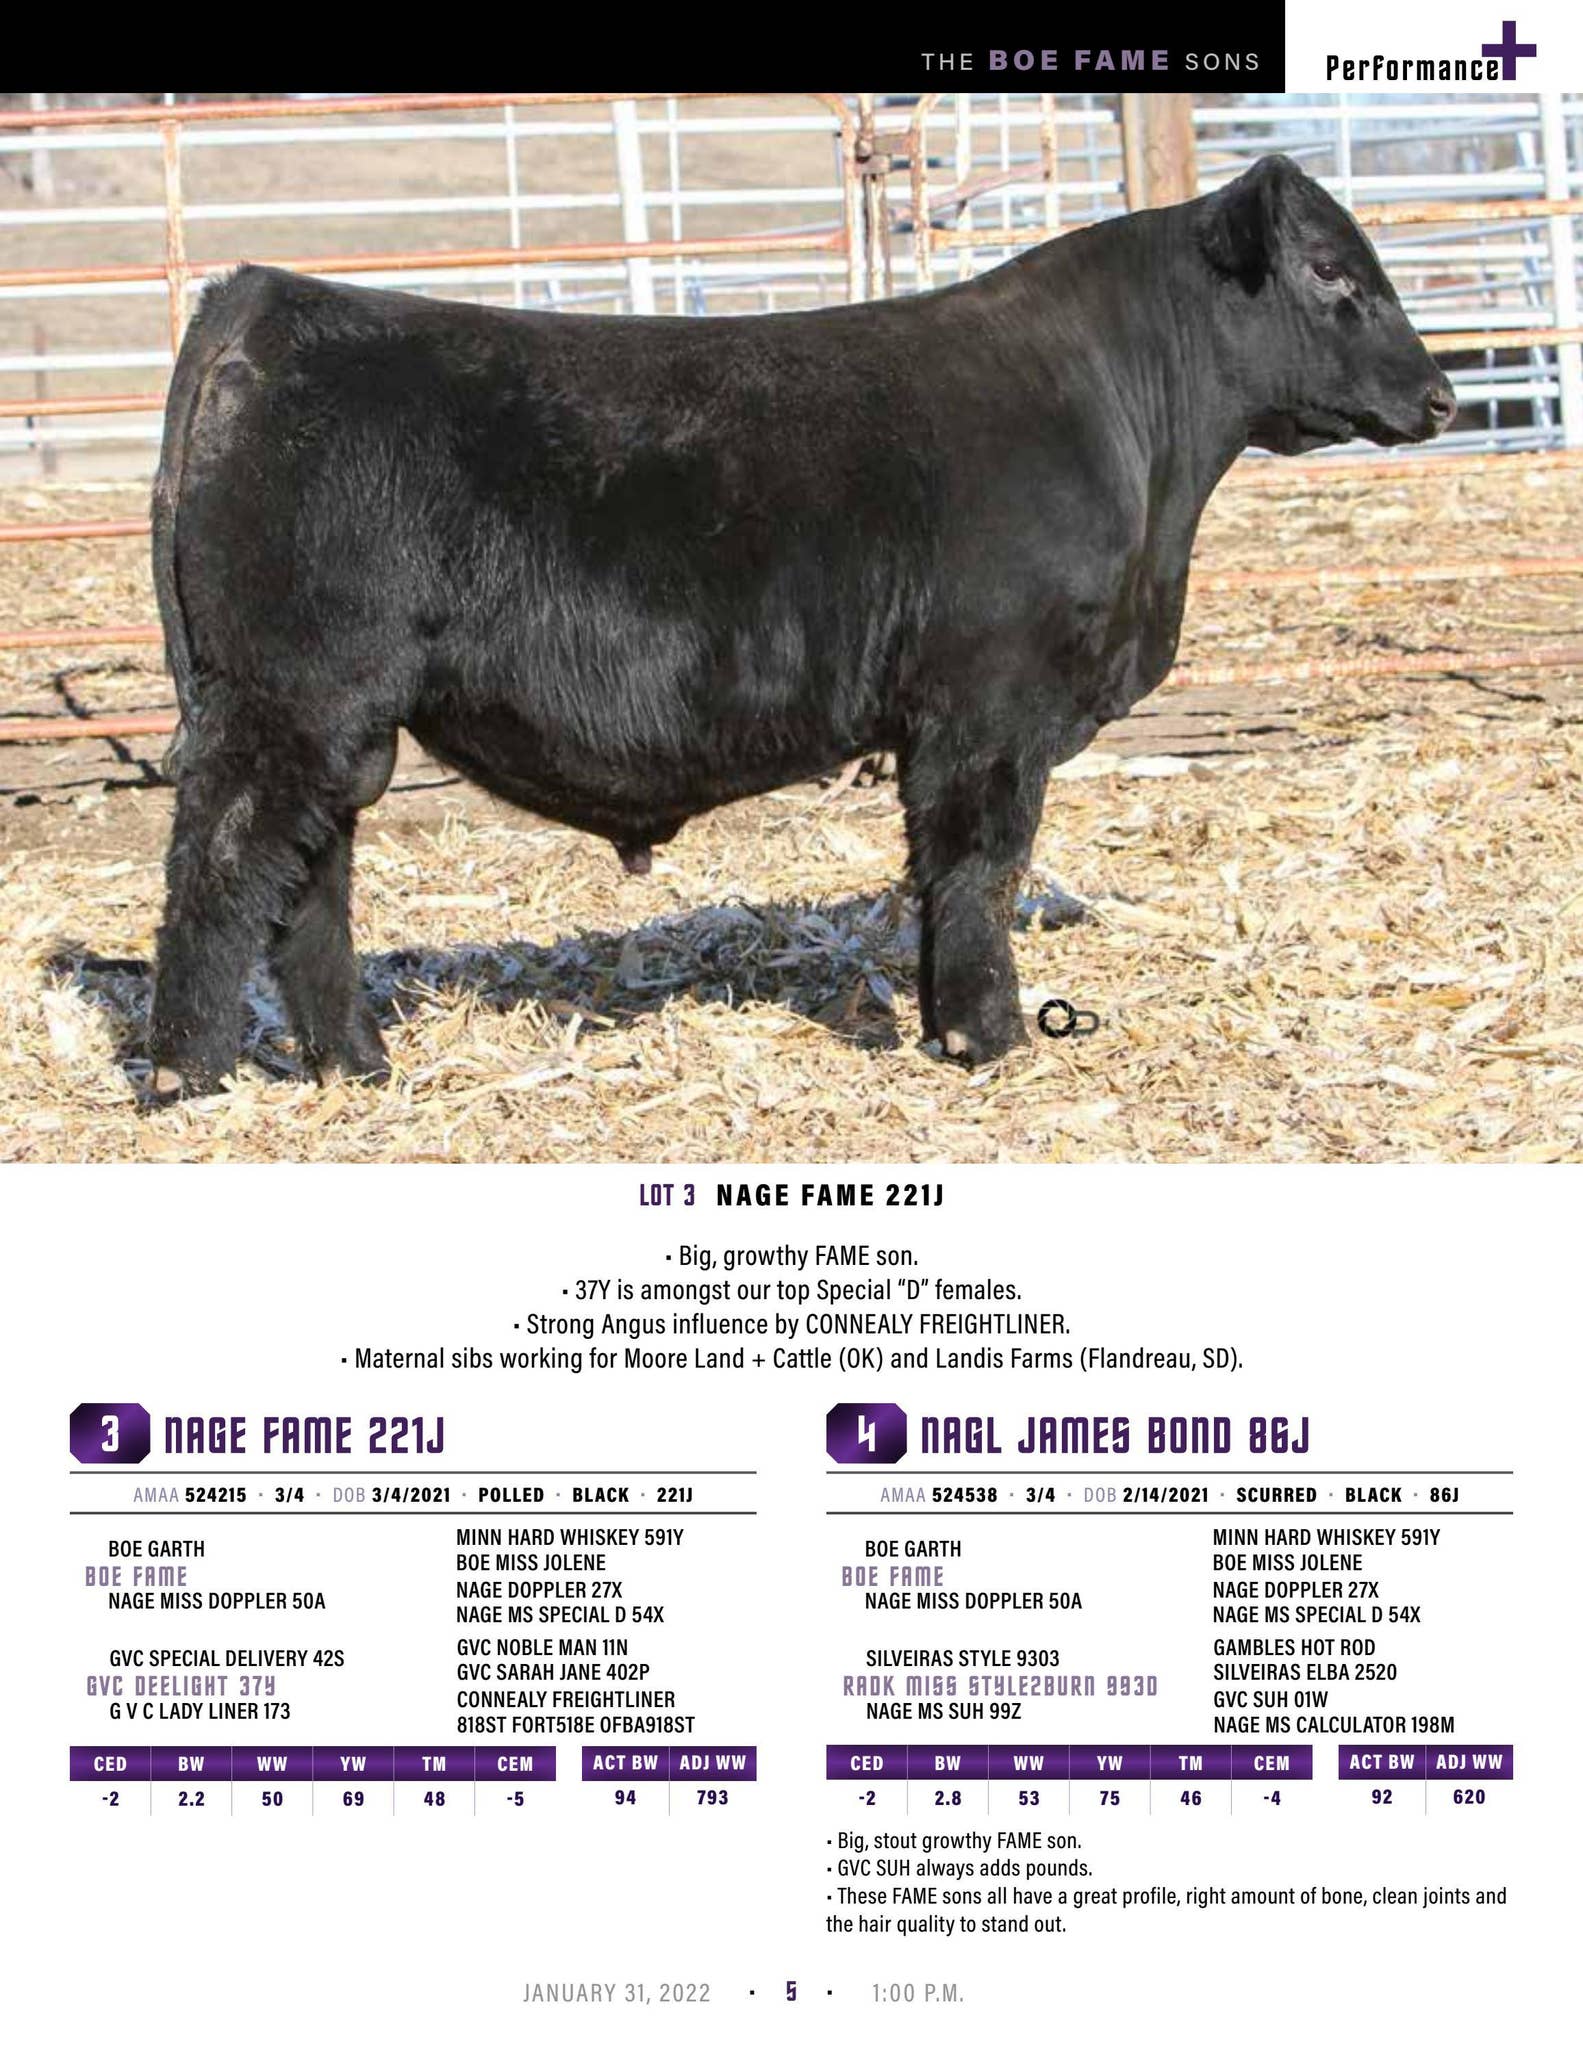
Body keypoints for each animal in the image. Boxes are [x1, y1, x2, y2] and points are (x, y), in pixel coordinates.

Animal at [145, 153, 1454, 1097]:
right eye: (1328, 272)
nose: (1441, 395)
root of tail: (262, 295)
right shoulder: (987, 709)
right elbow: (978, 866)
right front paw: (986, 1037)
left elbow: (937, 873)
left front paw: (943, 1025)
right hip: (289, 697)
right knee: (224, 864)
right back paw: (187, 1078)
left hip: (338, 719)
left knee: (307, 874)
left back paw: (353, 1064)